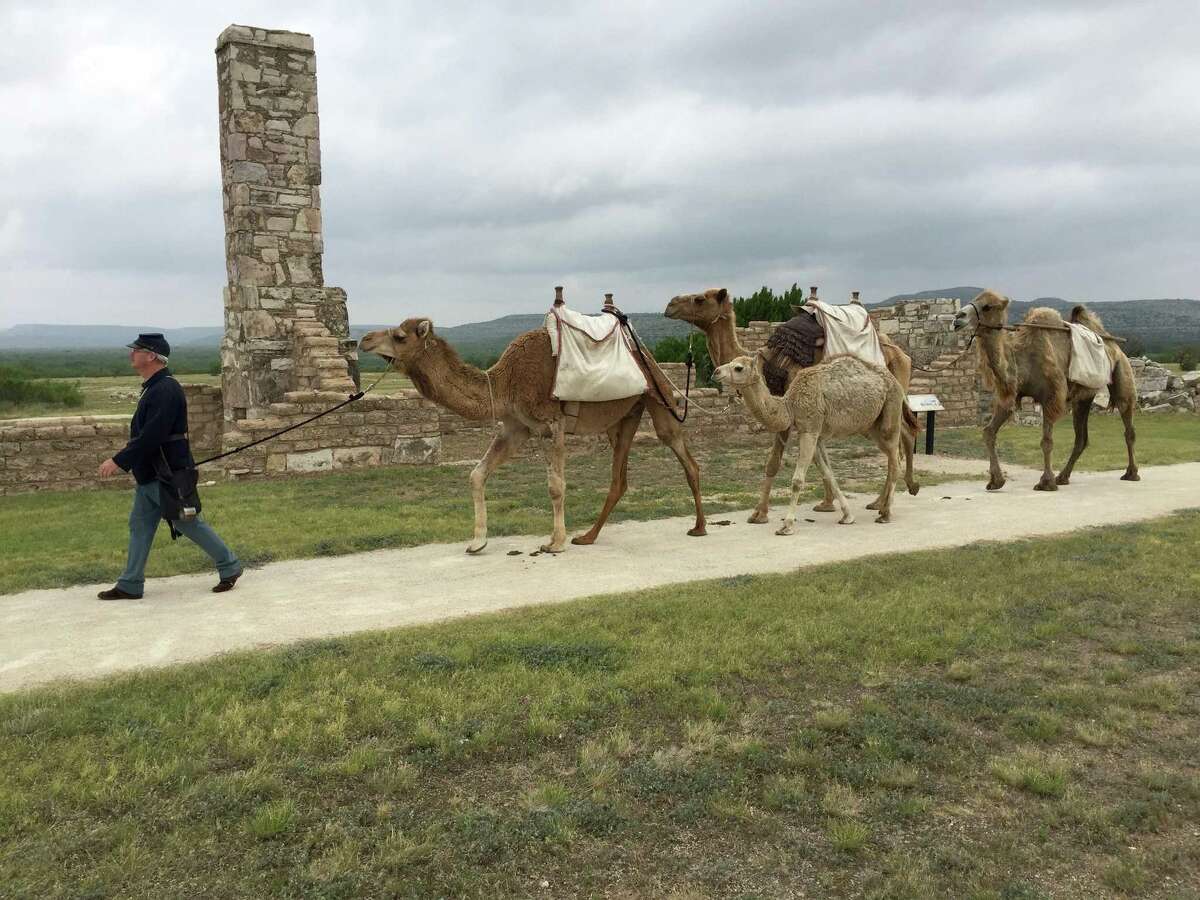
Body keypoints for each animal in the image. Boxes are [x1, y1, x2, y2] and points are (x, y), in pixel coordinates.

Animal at [359, 318, 706, 554]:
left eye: (400, 336)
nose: (364, 339)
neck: (503, 384)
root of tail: (644, 352)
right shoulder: (517, 428)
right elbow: (476, 474)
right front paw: (477, 541)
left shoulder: (553, 422)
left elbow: (555, 486)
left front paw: (555, 543)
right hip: (624, 416)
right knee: (619, 477)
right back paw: (587, 537)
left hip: (658, 394)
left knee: (683, 454)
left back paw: (699, 528)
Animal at [713, 353, 917, 533]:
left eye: (738, 368)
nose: (716, 371)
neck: (790, 405)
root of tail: (895, 381)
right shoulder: (817, 434)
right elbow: (828, 474)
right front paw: (847, 516)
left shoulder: (809, 429)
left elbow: (797, 480)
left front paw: (787, 526)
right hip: (870, 426)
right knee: (892, 457)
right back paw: (882, 506)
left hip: (890, 413)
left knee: (895, 460)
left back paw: (886, 513)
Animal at [953, 289, 1139, 491]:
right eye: (974, 300)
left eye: (988, 306)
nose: (958, 317)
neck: (1023, 359)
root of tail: (1115, 346)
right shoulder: (1011, 395)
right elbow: (988, 432)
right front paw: (996, 481)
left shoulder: (1051, 396)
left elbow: (1047, 441)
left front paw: (1046, 482)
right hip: (1083, 398)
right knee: (1081, 438)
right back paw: (1063, 477)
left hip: (1122, 371)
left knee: (1127, 422)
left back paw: (1131, 474)